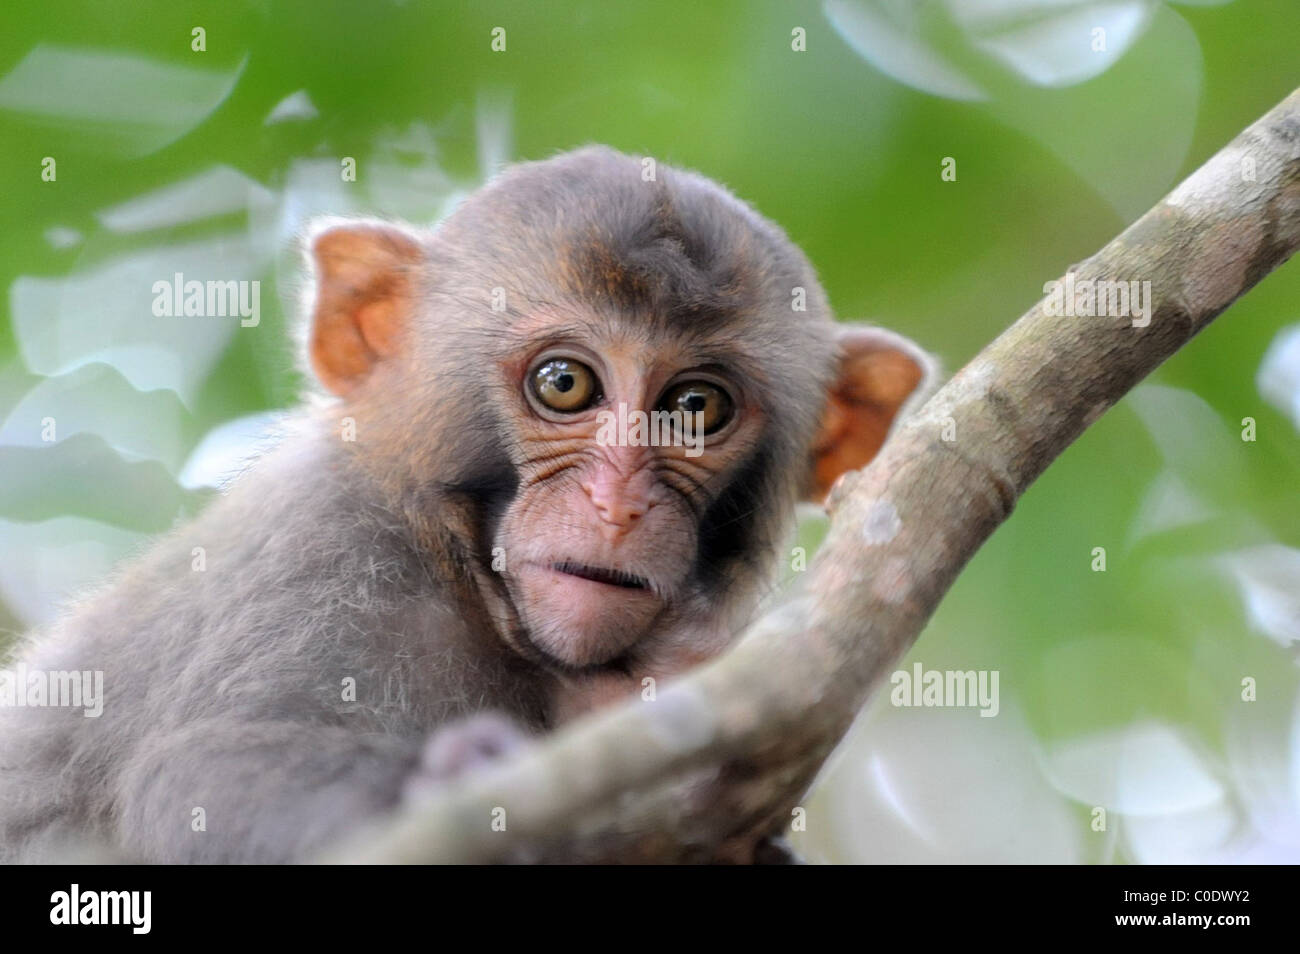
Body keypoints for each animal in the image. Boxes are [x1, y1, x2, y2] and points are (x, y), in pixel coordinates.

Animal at [0, 146, 932, 863]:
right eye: (565, 384)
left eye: (695, 407)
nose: (616, 504)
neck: (466, 581)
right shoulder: (318, 547)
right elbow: (202, 780)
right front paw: (455, 782)